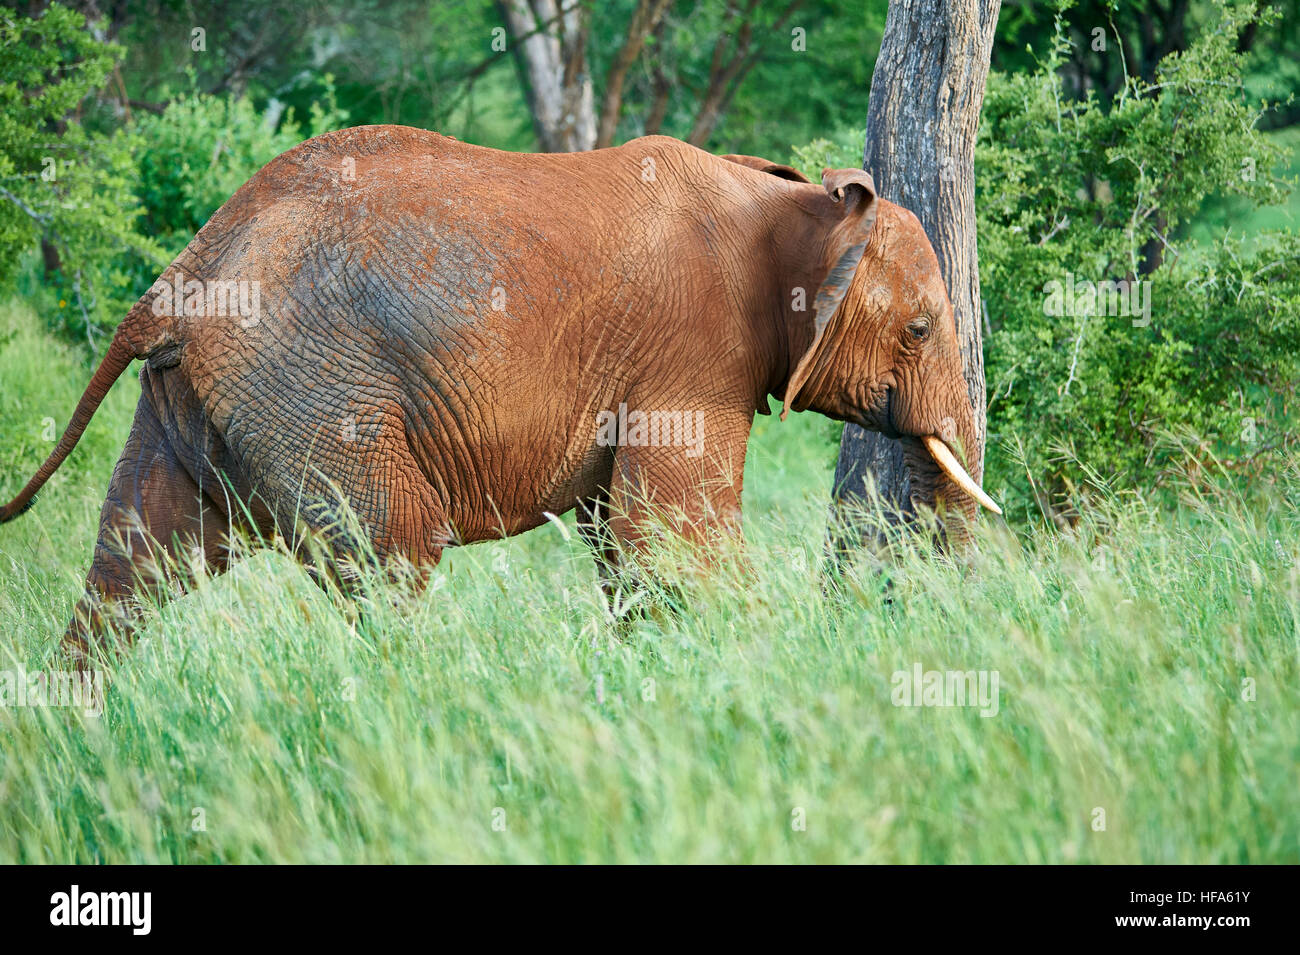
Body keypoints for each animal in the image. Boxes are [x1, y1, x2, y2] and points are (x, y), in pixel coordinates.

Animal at [0, 126, 998, 654]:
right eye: (918, 330)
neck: (791, 198)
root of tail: (180, 273)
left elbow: (625, 542)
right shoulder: (691, 349)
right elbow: (670, 536)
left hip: (204, 399)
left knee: (137, 559)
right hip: (308, 388)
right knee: (393, 551)